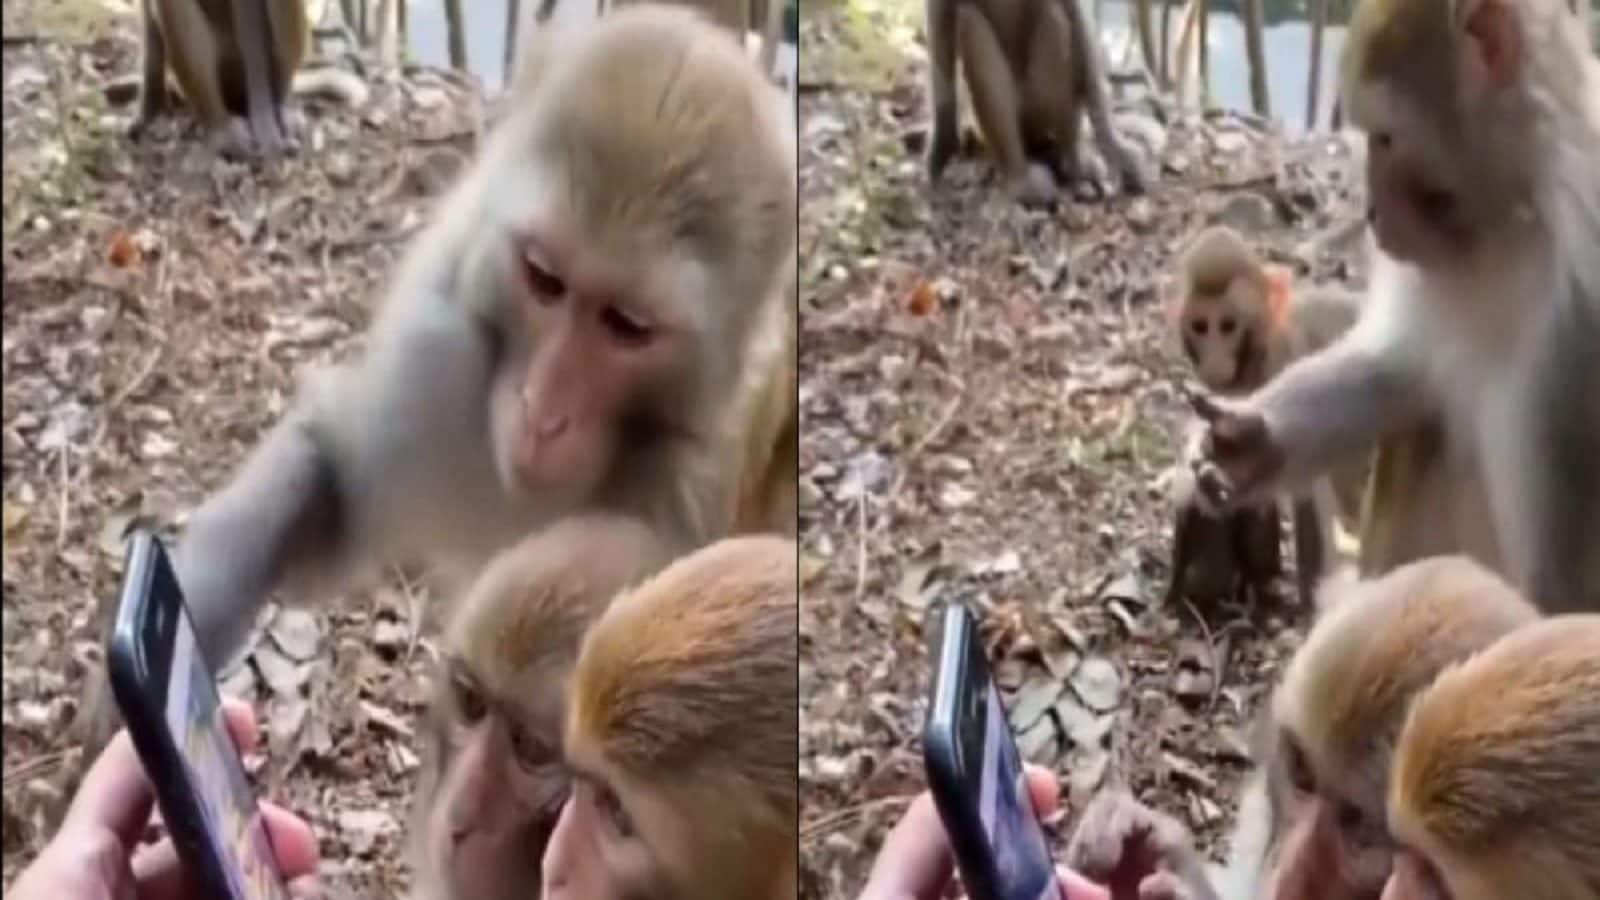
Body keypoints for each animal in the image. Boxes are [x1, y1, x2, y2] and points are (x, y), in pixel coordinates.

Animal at [923, 0, 1150, 206]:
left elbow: (1075, 13)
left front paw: (1116, 150)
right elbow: (941, 10)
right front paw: (942, 143)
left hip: (1038, 112)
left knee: (1055, 13)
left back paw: (1072, 159)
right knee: (970, 21)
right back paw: (1019, 175)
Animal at [1188, 0, 1600, 614]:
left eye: (1385, 138)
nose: (1373, 213)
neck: (1514, 222)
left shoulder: (1574, 343)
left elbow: (1557, 601)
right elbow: (1399, 370)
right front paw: (1248, 446)